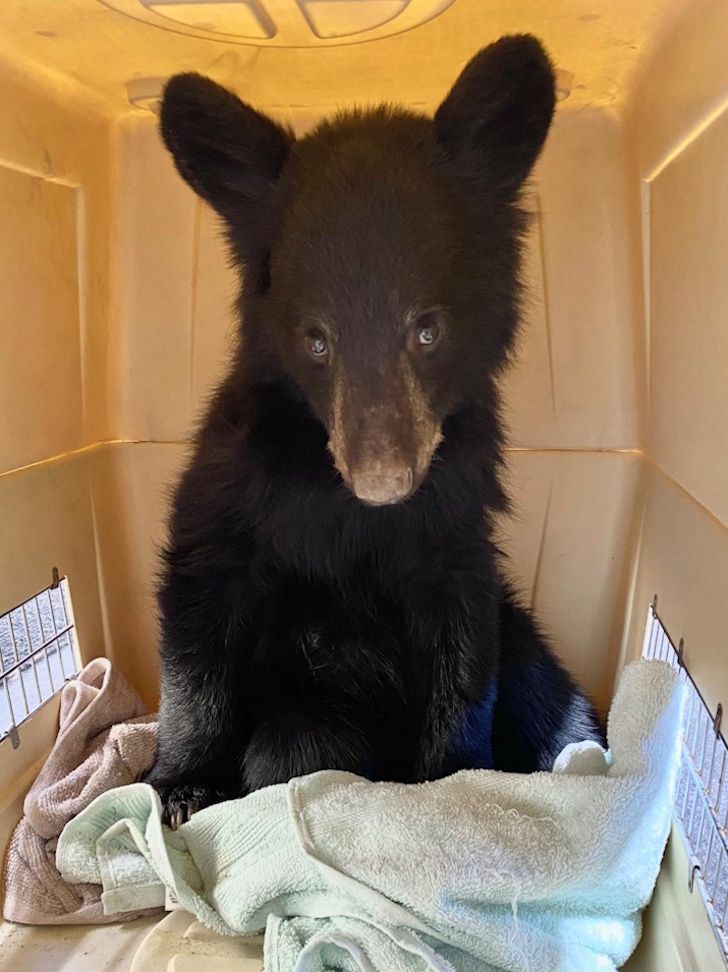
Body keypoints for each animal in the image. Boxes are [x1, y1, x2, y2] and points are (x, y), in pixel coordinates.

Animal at [145, 34, 605, 829]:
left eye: (428, 330)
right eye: (315, 340)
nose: (383, 483)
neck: (343, 510)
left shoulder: (456, 531)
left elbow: (463, 658)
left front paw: (451, 787)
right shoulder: (228, 497)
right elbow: (197, 623)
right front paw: (181, 786)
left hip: (525, 637)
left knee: (553, 696)